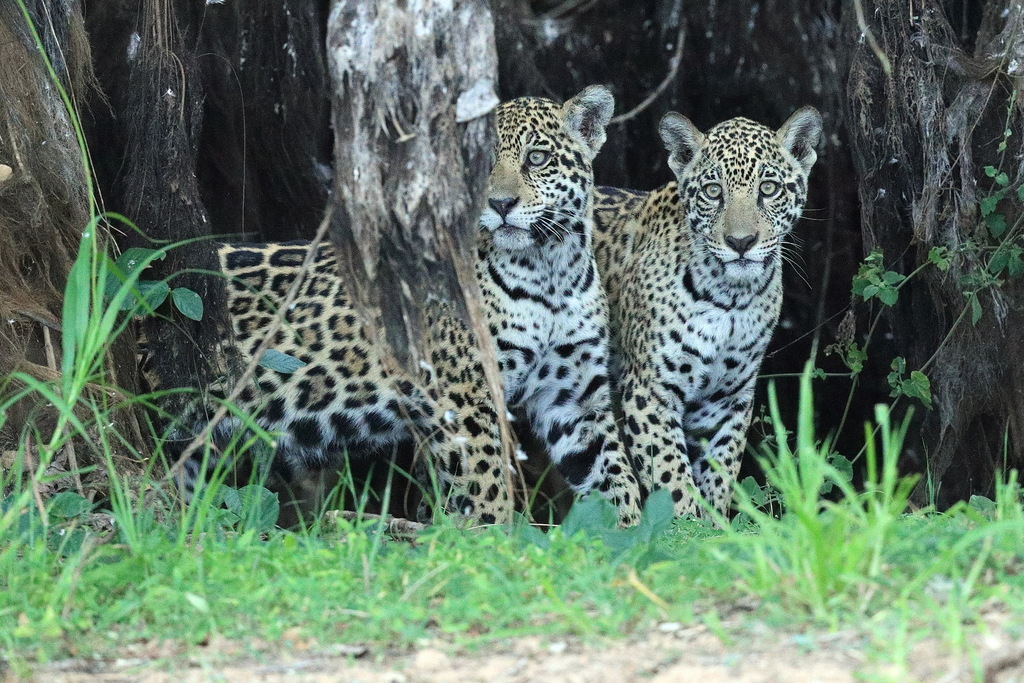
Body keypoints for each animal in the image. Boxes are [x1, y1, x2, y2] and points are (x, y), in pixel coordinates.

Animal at [164, 85, 641, 526]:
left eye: (537, 158)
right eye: (479, 165)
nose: (500, 204)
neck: (550, 272)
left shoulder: (576, 398)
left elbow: (616, 479)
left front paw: (635, 538)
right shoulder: (463, 392)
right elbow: (486, 481)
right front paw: (494, 538)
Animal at [592, 106, 822, 518]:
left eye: (769, 188)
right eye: (714, 191)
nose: (741, 242)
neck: (730, 298)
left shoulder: (727, 399)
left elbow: (719, 473)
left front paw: (714, 528)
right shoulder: (649, 392)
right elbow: (673, 480)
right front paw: (686, 528)